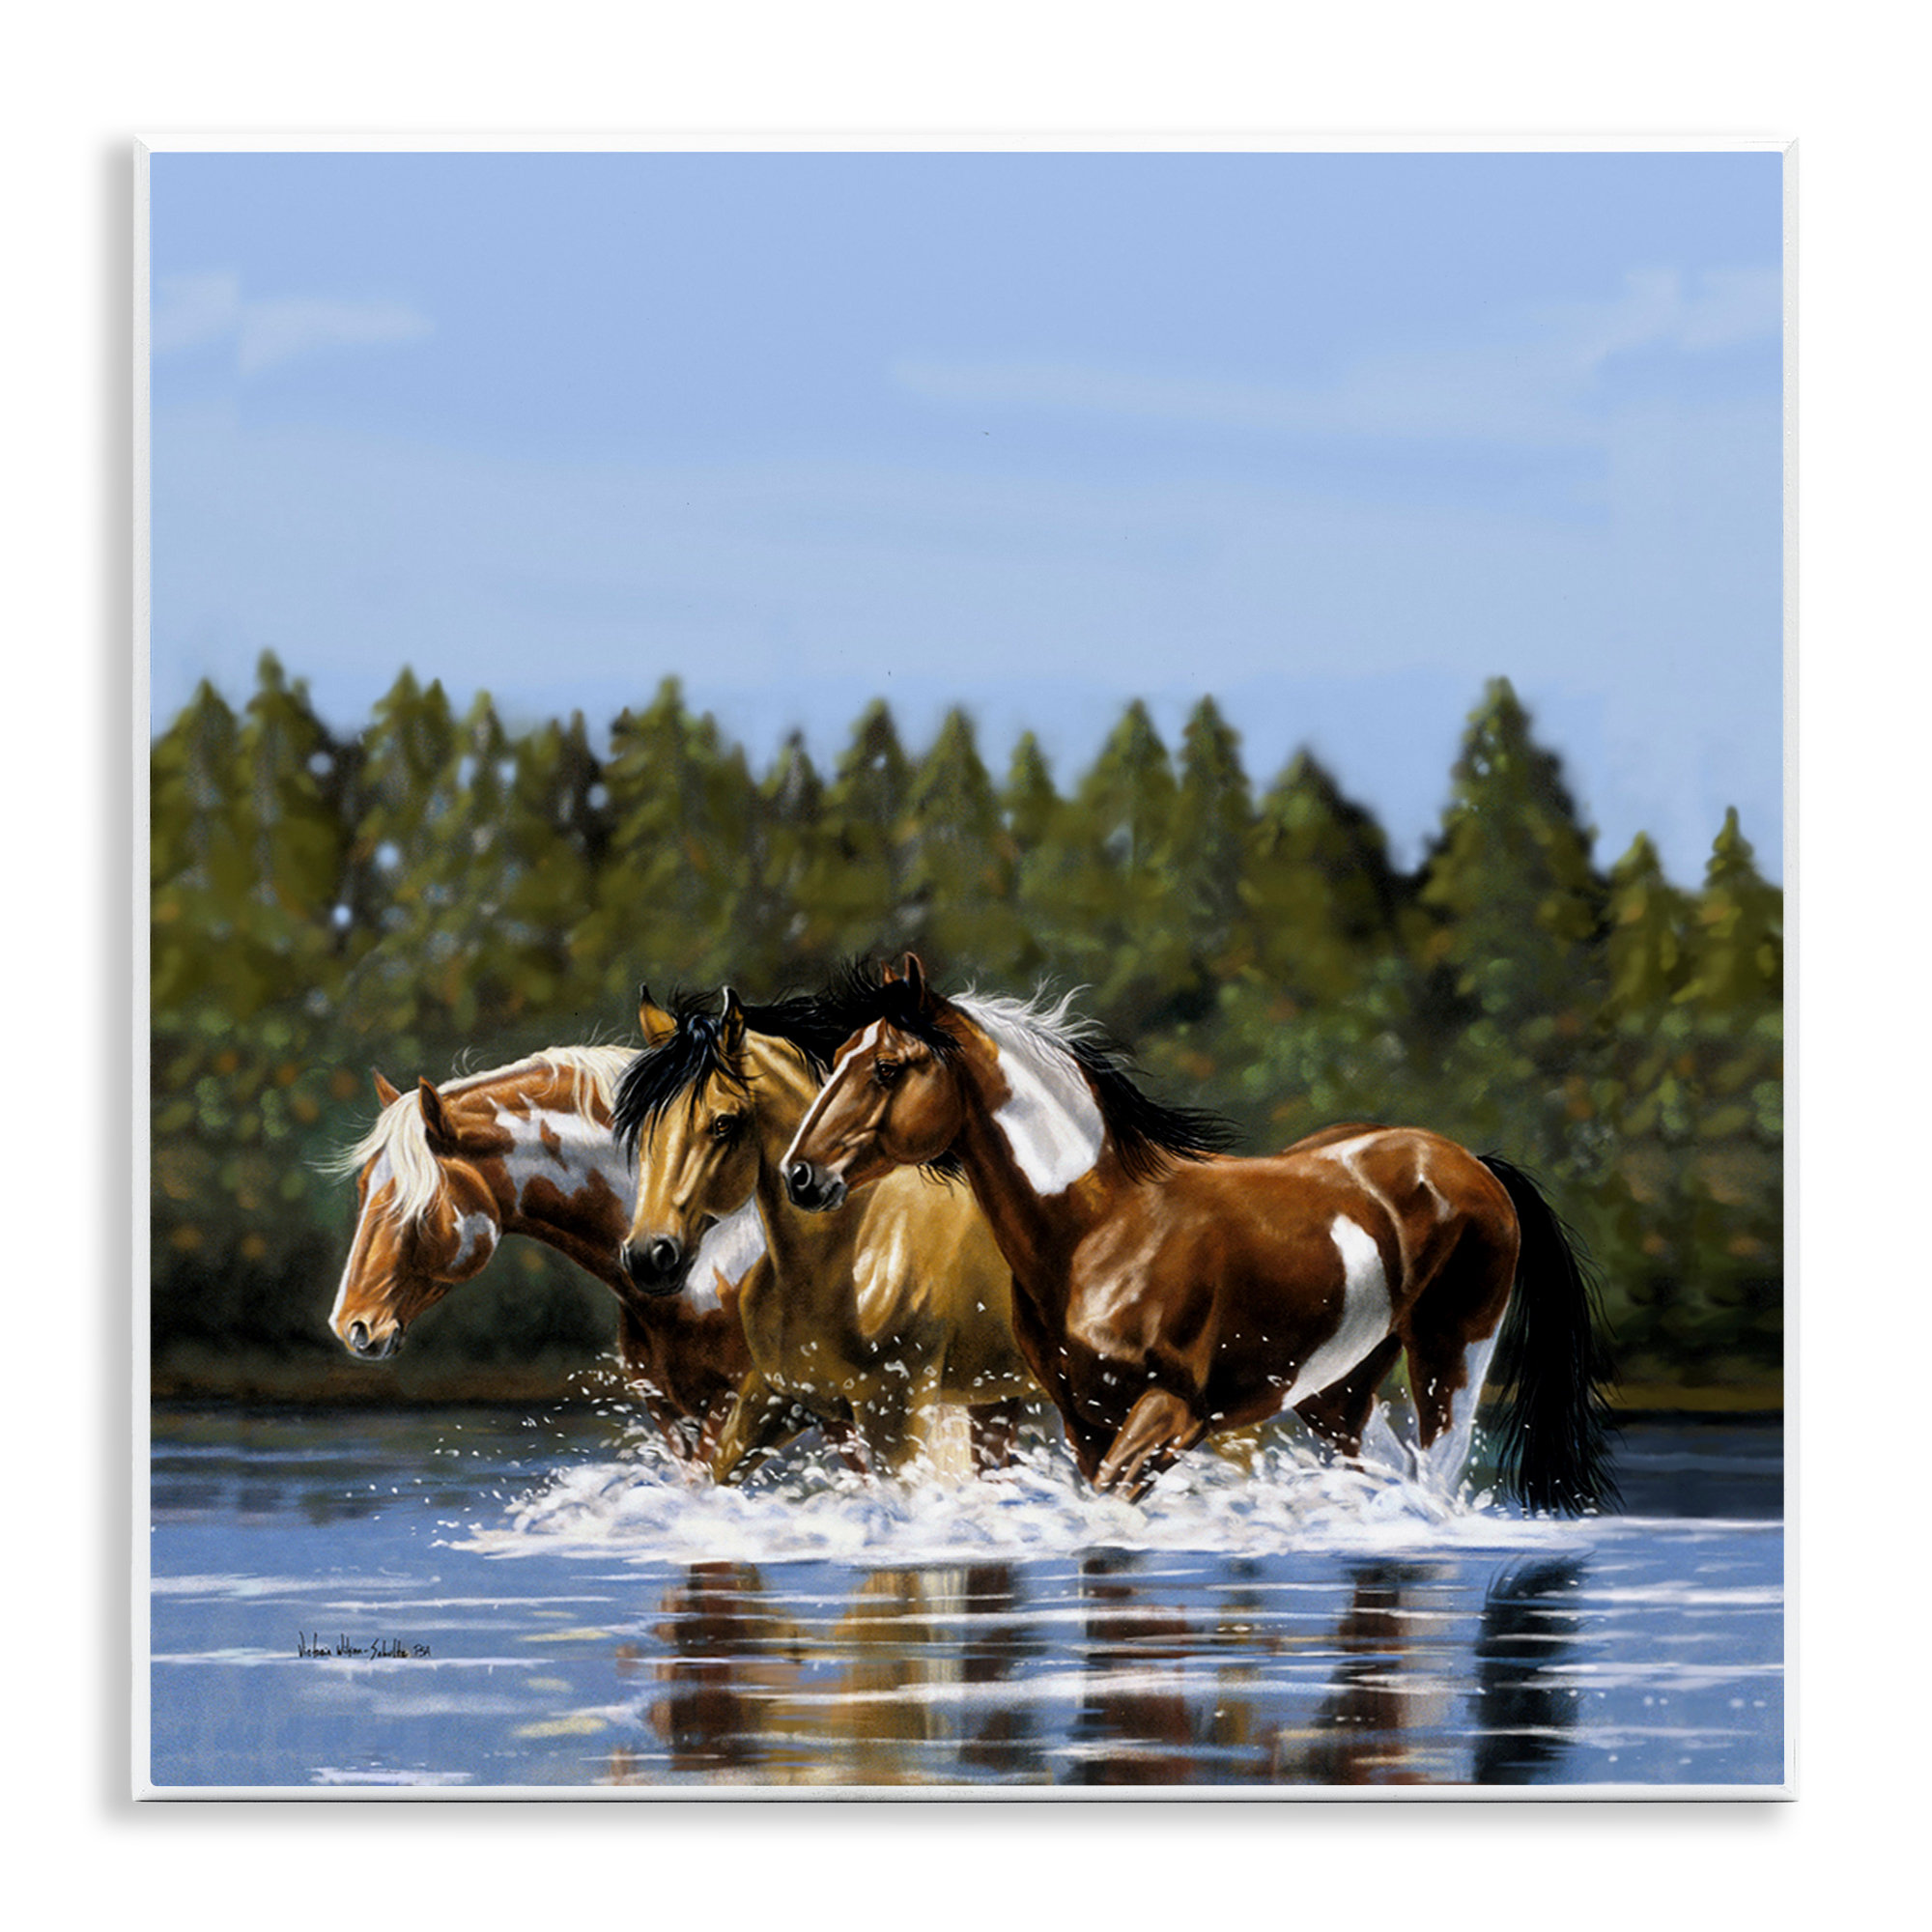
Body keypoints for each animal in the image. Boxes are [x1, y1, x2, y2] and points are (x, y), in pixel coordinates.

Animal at [611, 987, 1039, 1484]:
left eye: (723, 1123)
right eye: (646, 1127)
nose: (648, 1256)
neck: (847, 1254)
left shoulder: (892, 1414)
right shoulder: (772, 1399)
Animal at [781, 956, 1617, 1514]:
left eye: (889, 1068)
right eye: (844, 1057)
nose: (801, 1174)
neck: (1100, 1229)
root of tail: (1469, 1163)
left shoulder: (1172, 1415)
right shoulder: (1086, 1420)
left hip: (1452, 1358)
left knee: (1436, 1474)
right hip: (1336, 1388)